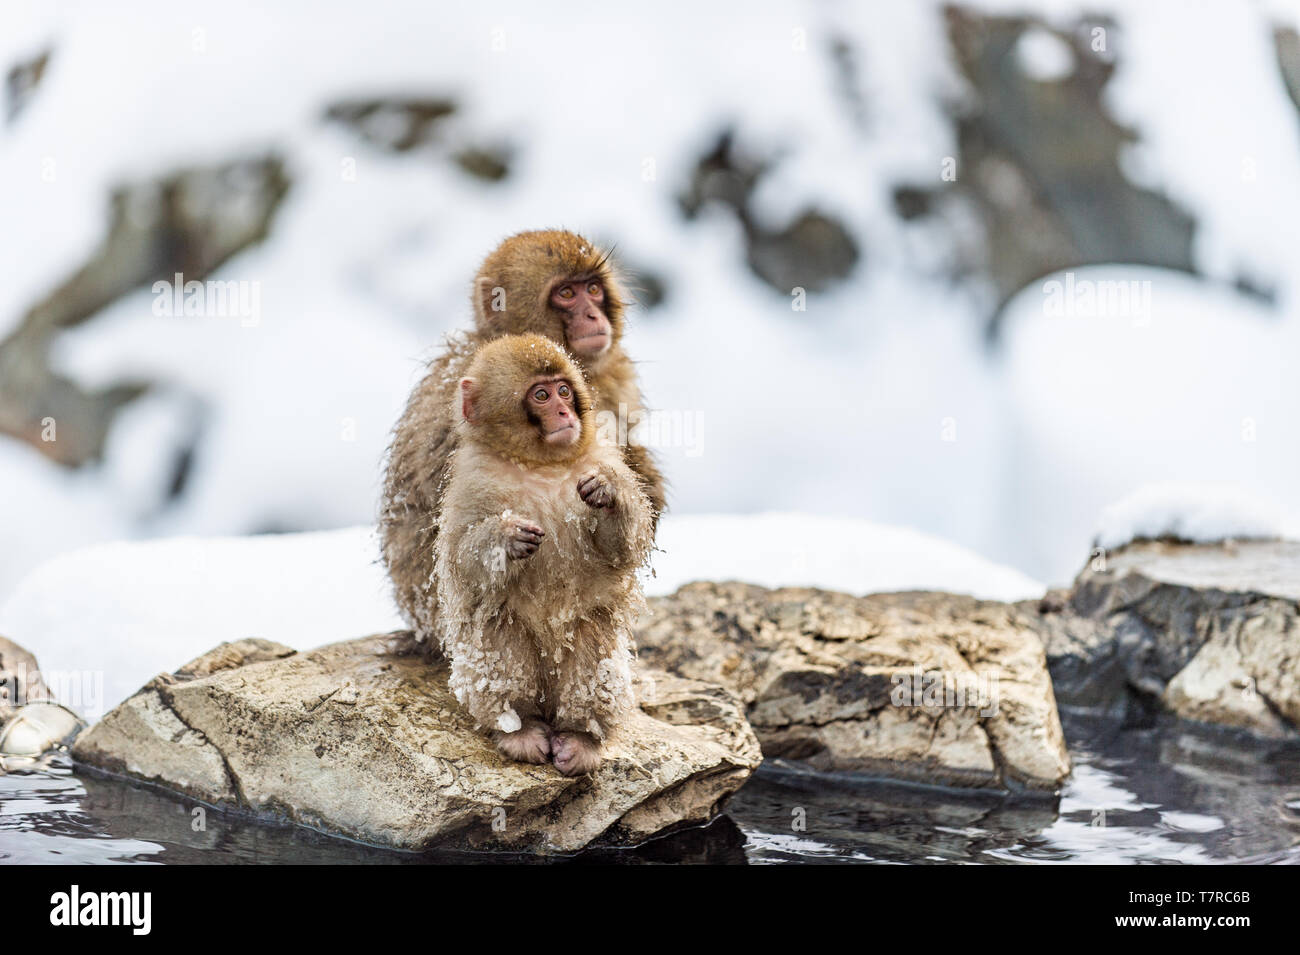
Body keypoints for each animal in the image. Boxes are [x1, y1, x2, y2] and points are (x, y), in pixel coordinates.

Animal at [421, 333, 653, 775]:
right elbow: (461, 559)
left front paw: (610, 495)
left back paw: (581, 736)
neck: (539, 464)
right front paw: (506, 537)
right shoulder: (471, 480)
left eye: (564, 390)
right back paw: (519, 727)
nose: (564, 411)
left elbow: (625, 551)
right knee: (498, 625)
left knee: (593, 638)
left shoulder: (603, 455)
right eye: (541, 396)